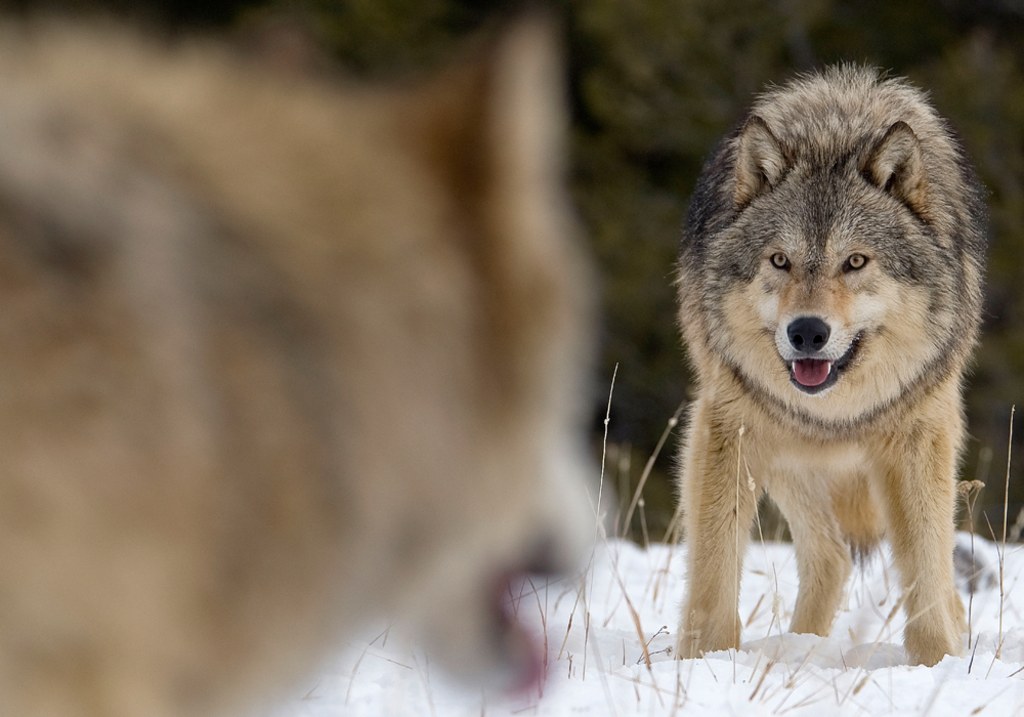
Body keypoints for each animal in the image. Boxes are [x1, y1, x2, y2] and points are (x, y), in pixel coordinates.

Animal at [674, 64, 987, 666]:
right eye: (780, 260)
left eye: (855, 261)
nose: (807, 332)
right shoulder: (726, 428)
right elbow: (713, 575)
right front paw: (701, 663)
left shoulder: (919, 438)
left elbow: (928, 576)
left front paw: (937, 664)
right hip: (786, 454)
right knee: (832, 556)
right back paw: (800, 648)